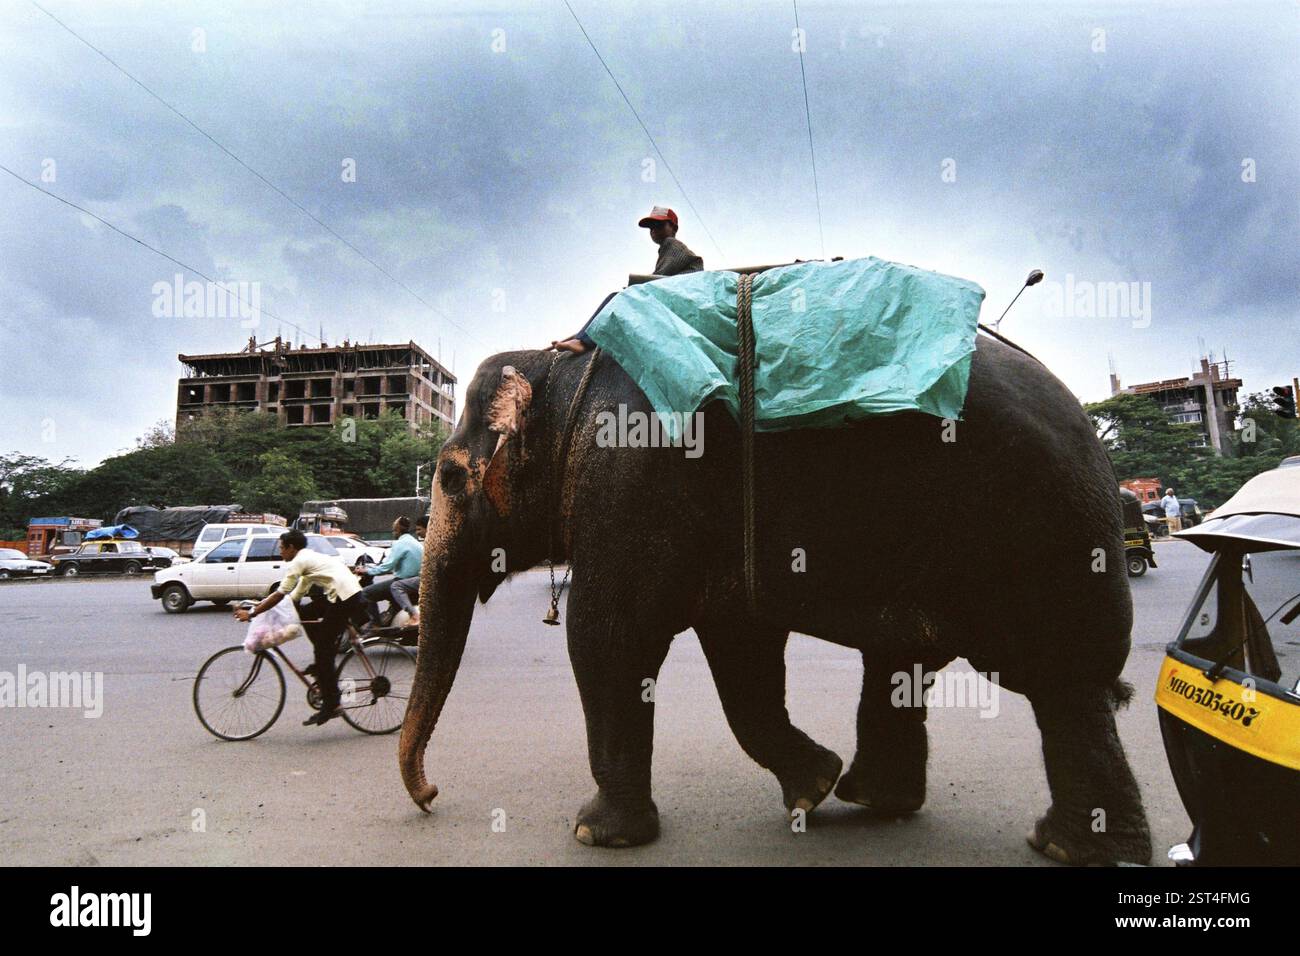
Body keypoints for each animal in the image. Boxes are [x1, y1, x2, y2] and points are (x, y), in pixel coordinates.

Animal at [398, 333, 1153, 865]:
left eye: (451, 477)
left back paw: (1066, 847)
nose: (432, 797)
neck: (563, 374)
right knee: (904, 665)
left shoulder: (632, 481)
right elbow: (741, 649)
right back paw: (875, 800)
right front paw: (813, 787)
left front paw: (595, 835)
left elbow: (607, 638)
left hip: (1042, 543)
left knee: (1064, 687)